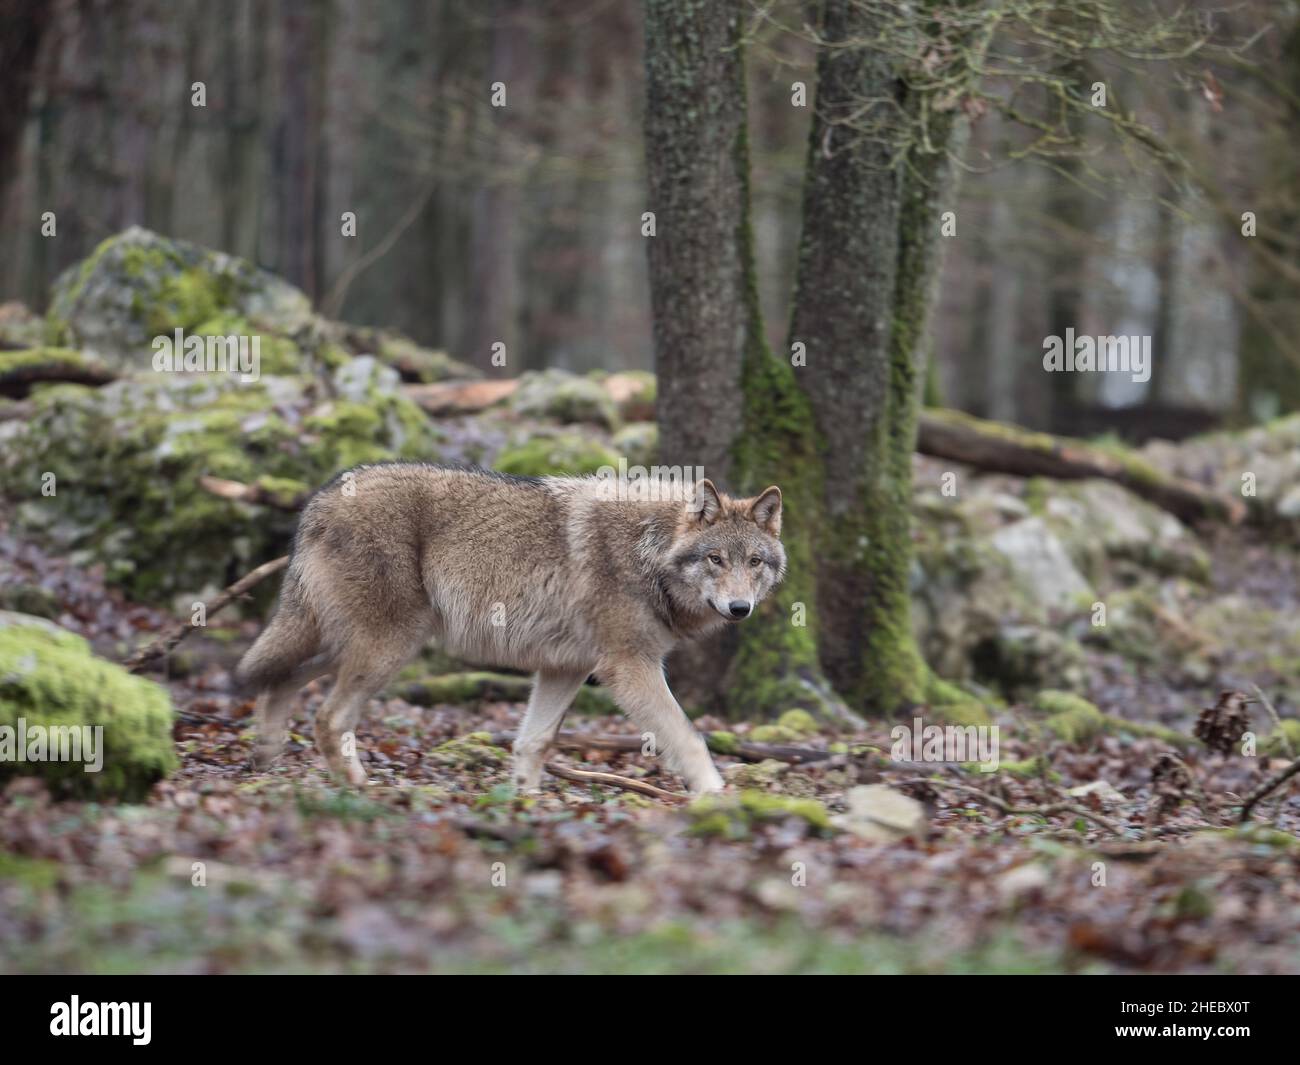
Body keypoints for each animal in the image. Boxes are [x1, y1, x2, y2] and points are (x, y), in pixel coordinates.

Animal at [235, 464, 785, 794]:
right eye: (716, 559)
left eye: (754, 562)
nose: (739, 608)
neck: (648, 550)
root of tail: (319, 499)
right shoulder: (630, 667)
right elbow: (689, 738)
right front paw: (718, 797)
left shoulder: (565, 668)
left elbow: (533, 743)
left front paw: (526, 803)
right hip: (387, 648)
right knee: (327, 718)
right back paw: (358, 788)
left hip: (354, 644)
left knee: (278, 681)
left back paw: (267, 758)